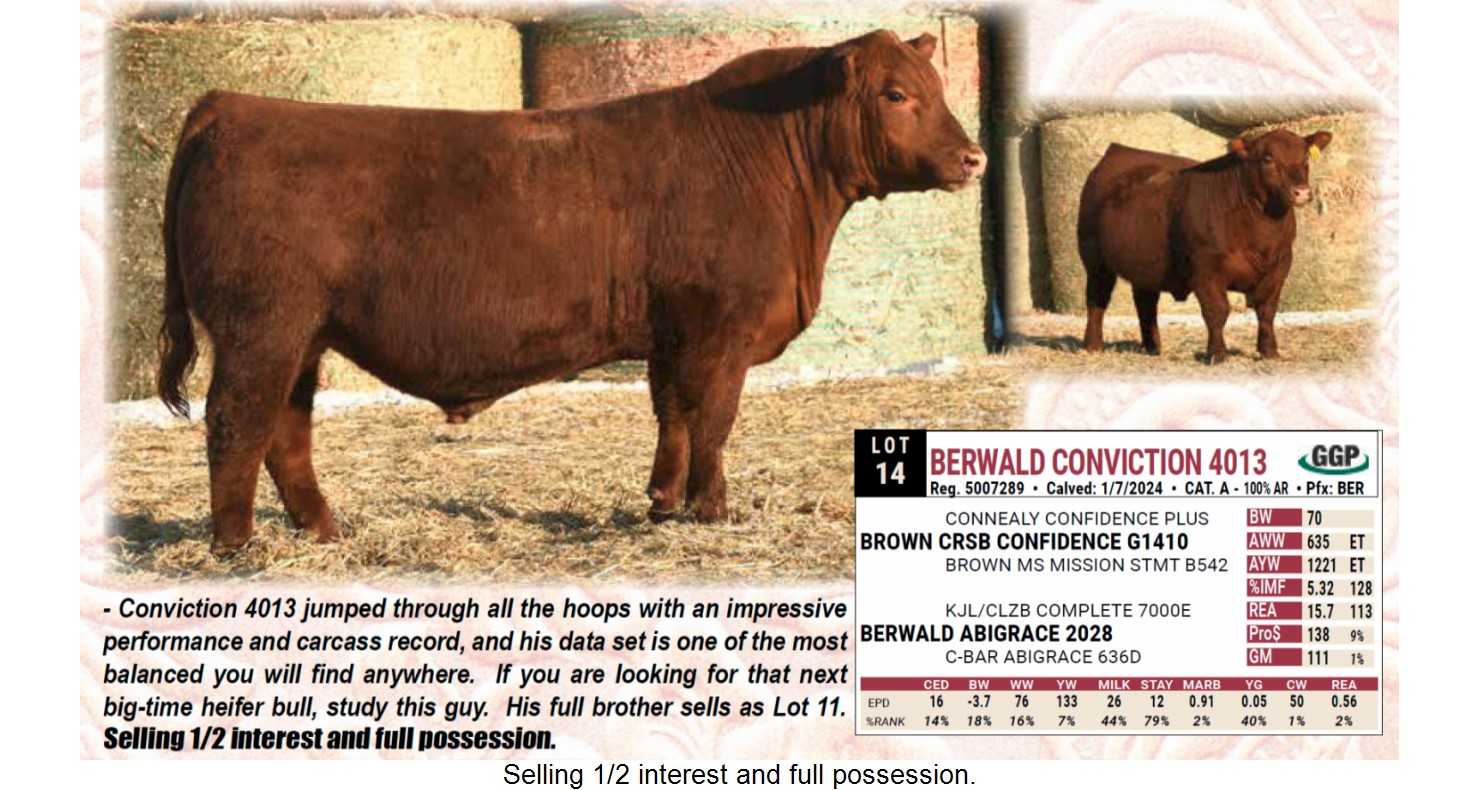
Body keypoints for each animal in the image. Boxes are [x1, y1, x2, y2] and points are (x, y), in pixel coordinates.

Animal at [155, 30, 986, 555]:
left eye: (937, 88)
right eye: (896, 94)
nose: (973, 157)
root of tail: (232, 105)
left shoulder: (672, 335)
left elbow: (673, 417)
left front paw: (662, 504)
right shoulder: (721, 330)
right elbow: (713, 422)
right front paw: (712, 512)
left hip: (302, 337)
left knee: (285, 434)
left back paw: (323, 532)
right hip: (263, 329)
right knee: (237, 425)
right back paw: (236, 544)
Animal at [1078, 128, 1333, 363]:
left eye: (1306, 158)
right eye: (1268, 158)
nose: (1301, 192)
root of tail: (1120, 151)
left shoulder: (1279, 266)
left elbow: (1267, 310)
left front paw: (1269, 351)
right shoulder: (1207, 268)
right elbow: (1217, 310)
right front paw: (1217, 354)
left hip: (1146, 264)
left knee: (1146, 303)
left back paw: (1153, 347)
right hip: (1096, 263)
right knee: (1097, 300)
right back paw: (1093, 345)